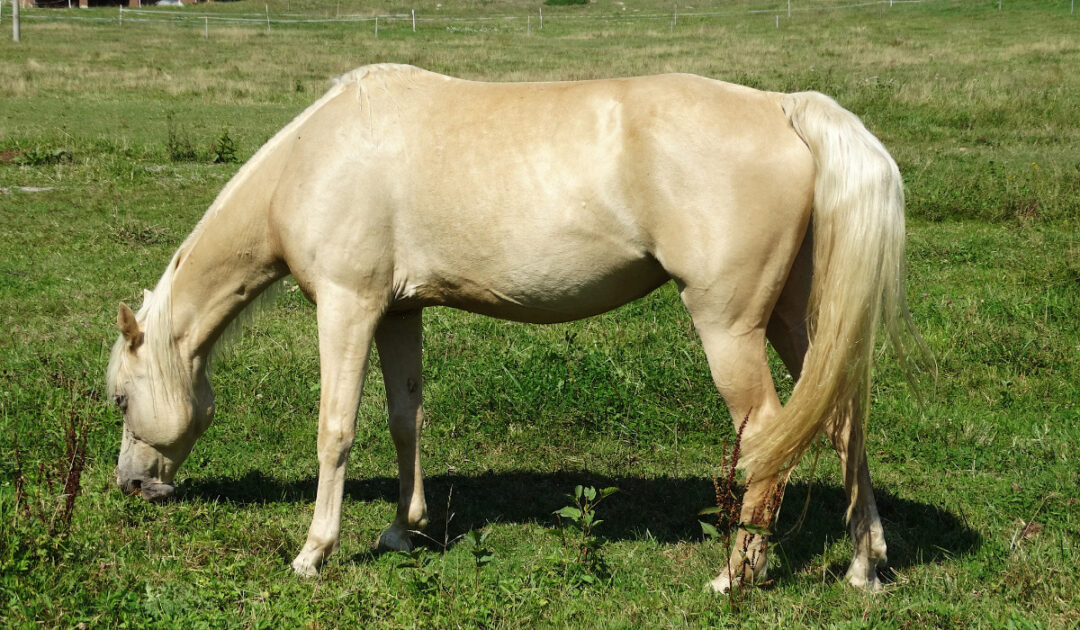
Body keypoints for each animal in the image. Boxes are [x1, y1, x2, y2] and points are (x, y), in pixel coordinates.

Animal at [106, 64, 924, 592]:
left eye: (119, 398)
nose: (133, 485)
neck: (315, 160)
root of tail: (785, 107)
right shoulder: (398, 311)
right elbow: (405, 418)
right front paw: (403, 529)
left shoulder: (348, 306)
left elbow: (335, 428)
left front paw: (315, 552)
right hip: (797, 319)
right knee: (842, 422)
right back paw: (864, 566)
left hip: (730, 326)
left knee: (767, 434)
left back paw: (736, 575)